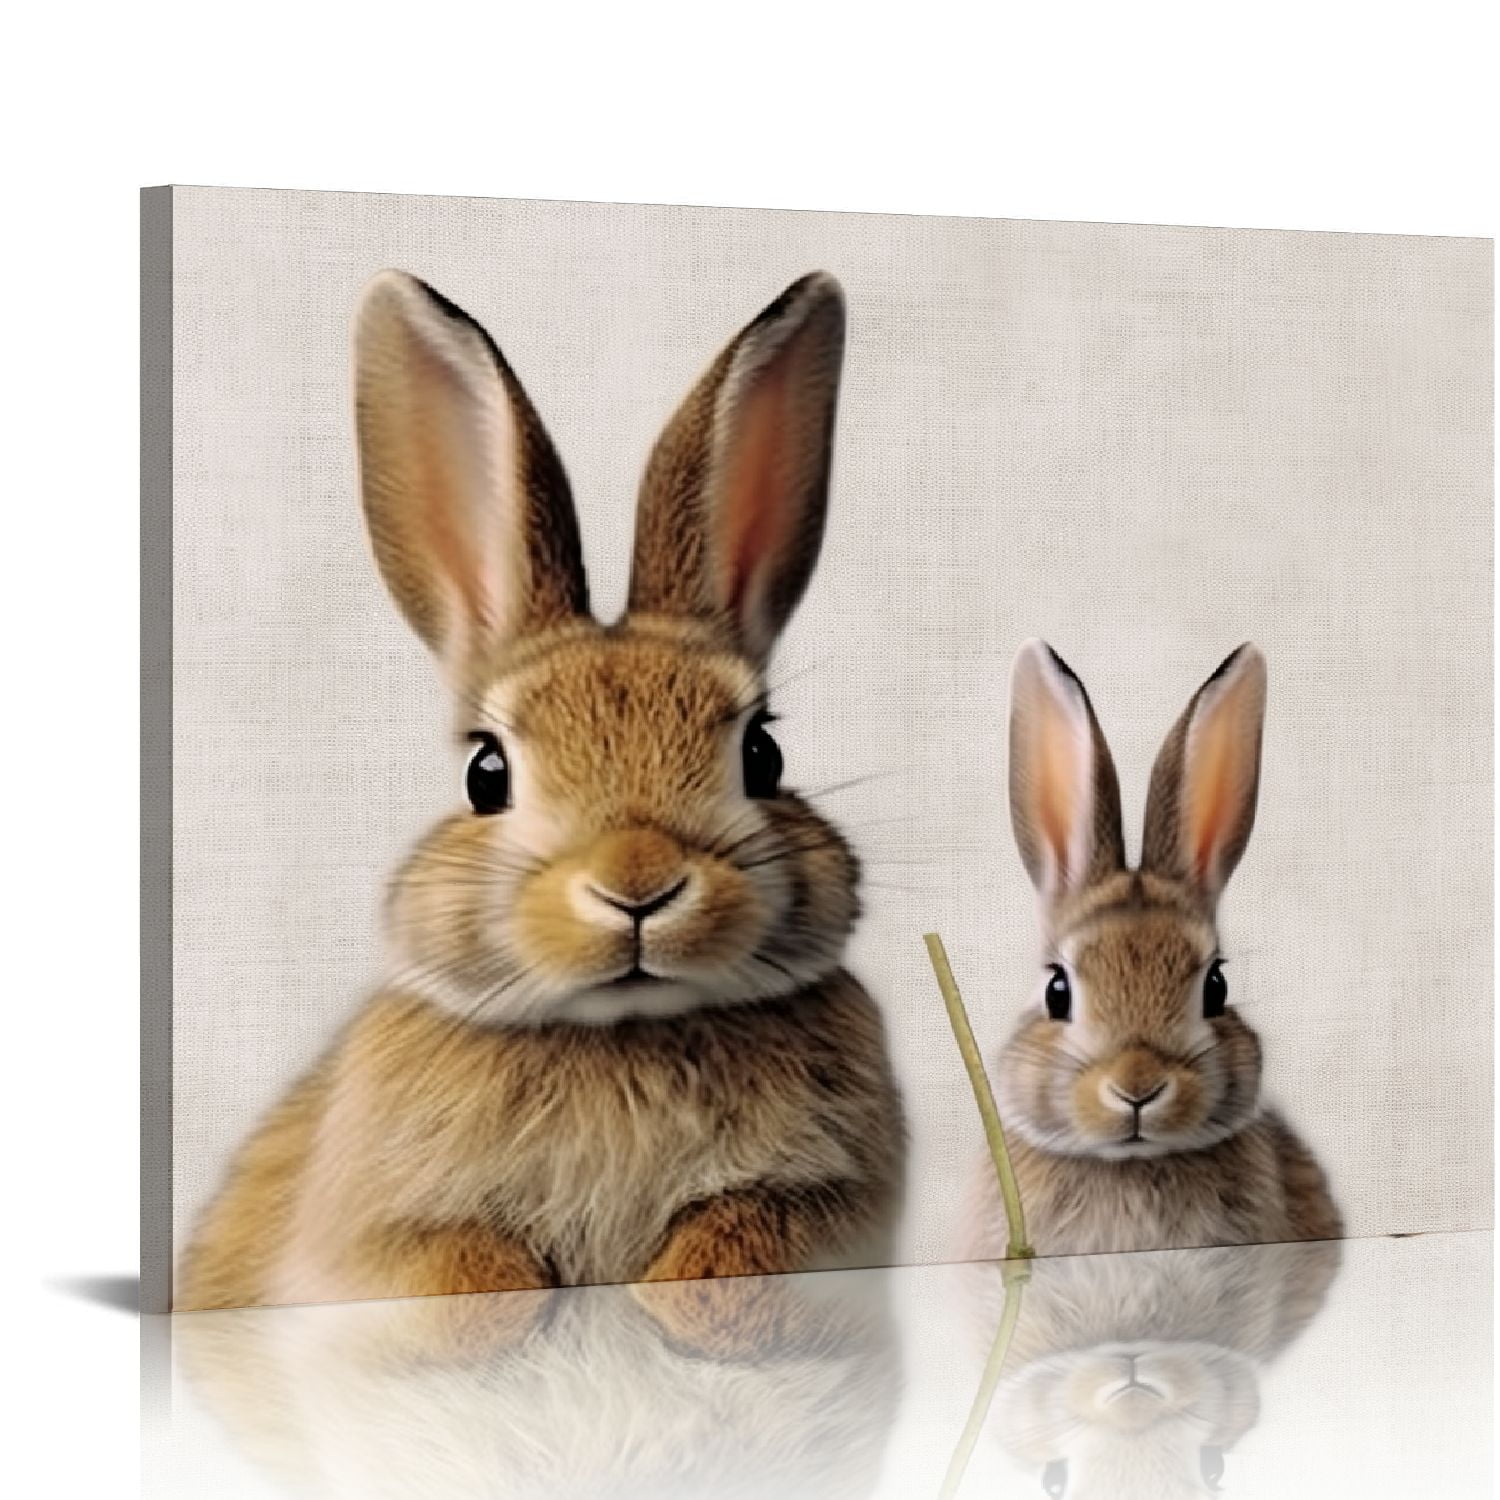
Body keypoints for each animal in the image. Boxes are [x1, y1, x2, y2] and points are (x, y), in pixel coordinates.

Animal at [176, 270, 905, 1312]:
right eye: (486, 772)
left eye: (762, 754)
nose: (637, 884)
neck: (621, 1034)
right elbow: (457, 1271)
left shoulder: (823, 1209)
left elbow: (744, 1246)